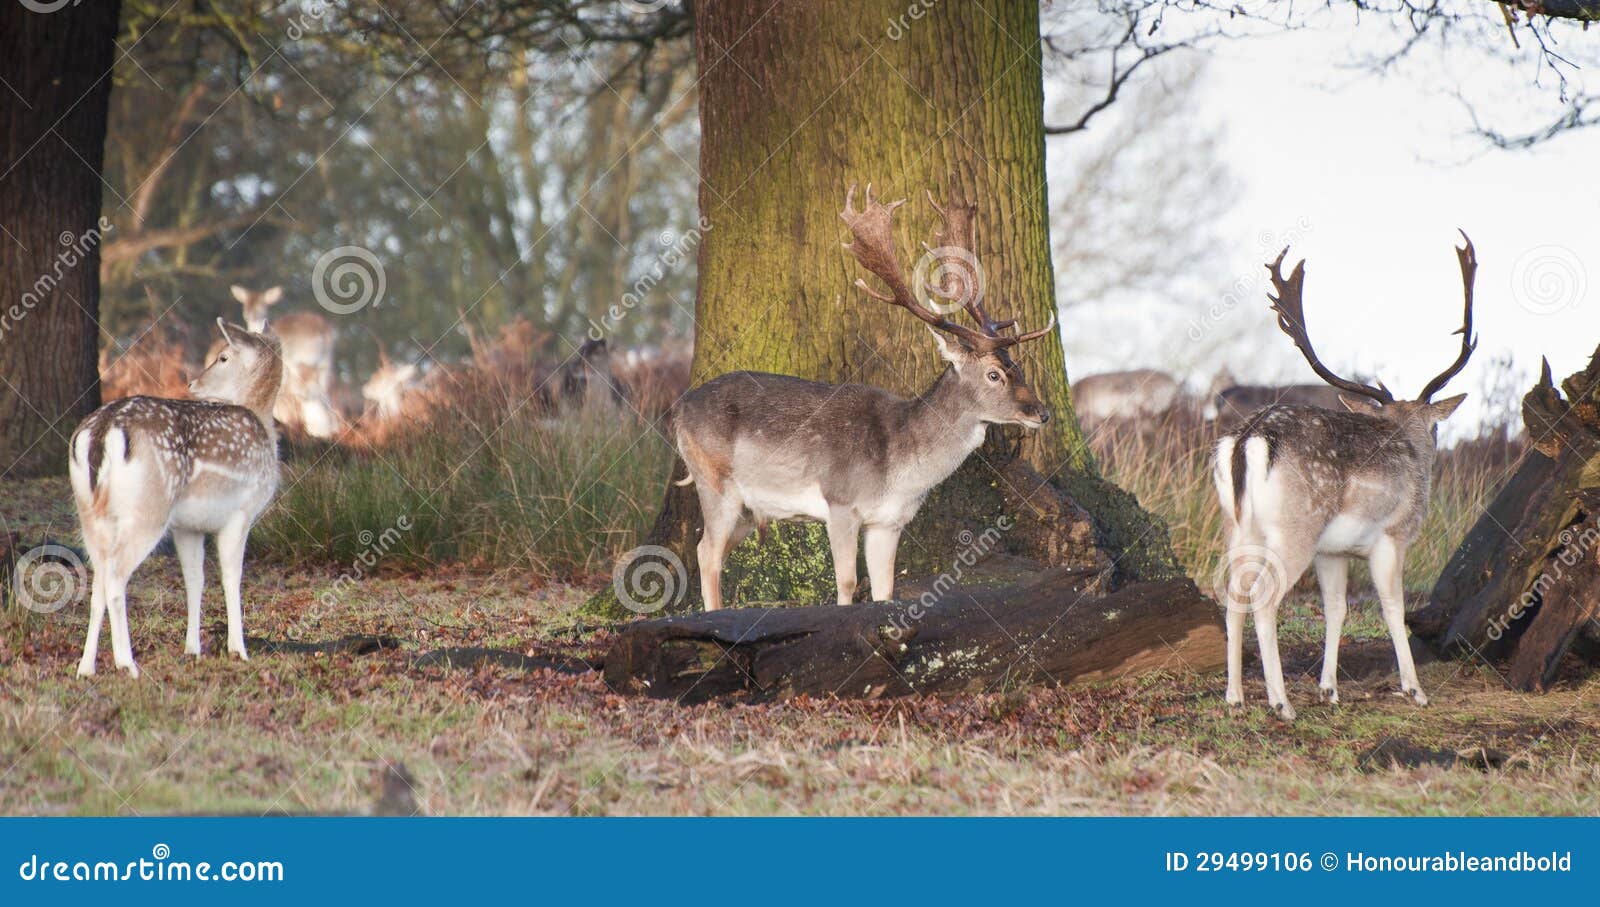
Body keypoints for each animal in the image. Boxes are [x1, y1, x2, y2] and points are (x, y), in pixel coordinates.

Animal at [69, 320, 284, 677]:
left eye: (223, 357)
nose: (192, 383)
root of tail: (102, 431)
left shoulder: (187, 526)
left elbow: (194, 579)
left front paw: (192, 650)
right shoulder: (241, 511)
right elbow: (232, 576)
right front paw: (239, 650)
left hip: (90, 512)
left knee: (97, 580)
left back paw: (86, 667)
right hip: (147, 510)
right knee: (115, 579)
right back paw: (127, 663)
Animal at [671, 183, 1054, 611]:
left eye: (1017, 365)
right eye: (993, 374)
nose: (1041, 412)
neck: (899, 472)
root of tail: (678, 410)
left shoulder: (888, 522)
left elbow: (885, 589)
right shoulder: (839, 501)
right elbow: (848, 581)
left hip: (745, 508)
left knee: (711, 551)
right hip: (713, 479)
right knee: (706, 552)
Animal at [1212, 234, 1478, 720]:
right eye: (1436, 428)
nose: (1434, 446)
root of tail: (1248, 439)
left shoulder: (1331, 551)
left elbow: (1336, 608)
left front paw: (1329, 689)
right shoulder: (1393, 534)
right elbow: (1393, 607)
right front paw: (1414, 689)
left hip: (1238, 526)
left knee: (1233, 595)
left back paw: (1236, 696)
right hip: (1295, 528)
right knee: (1263, 599)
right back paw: (1280, 703)